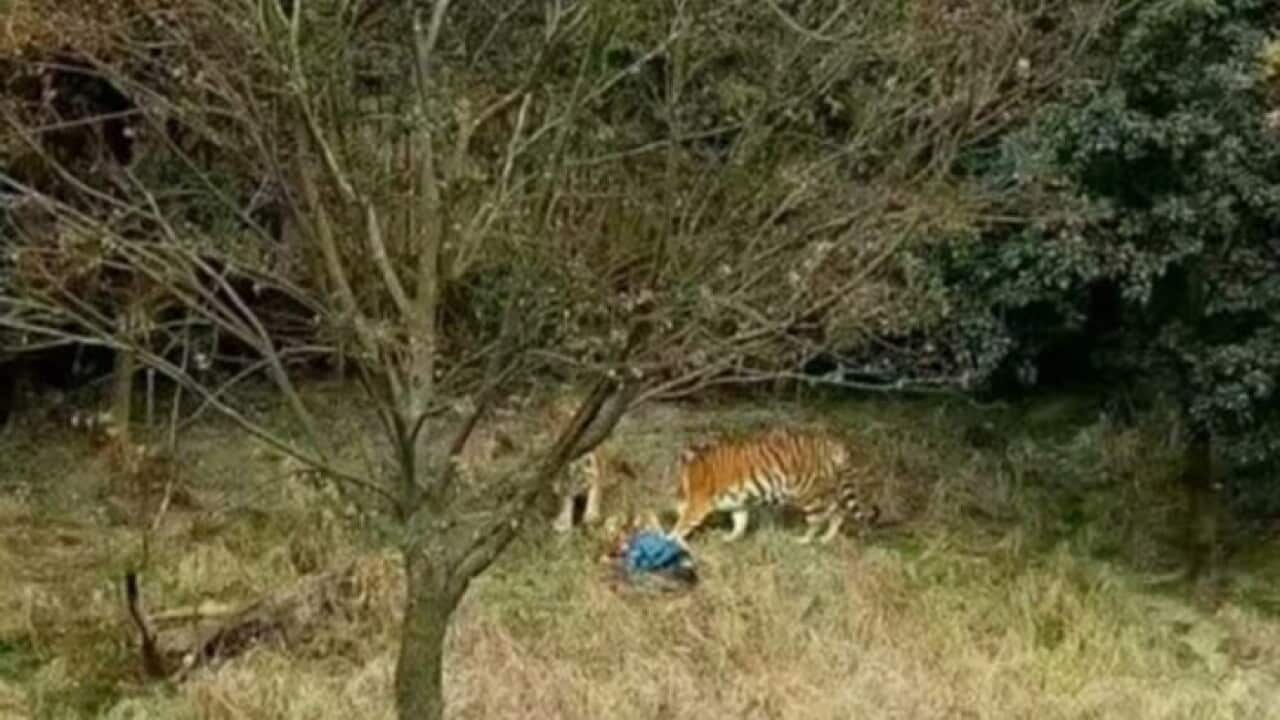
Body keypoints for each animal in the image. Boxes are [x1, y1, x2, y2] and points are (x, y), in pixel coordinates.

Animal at [669, 428, 880, 545]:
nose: (676, 504)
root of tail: (833, 443)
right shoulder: (739, 502)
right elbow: (740, 521)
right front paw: (731, 537)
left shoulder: (698, 504)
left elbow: (684, 523)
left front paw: (670, 538)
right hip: (826, 490)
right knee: (837, 511)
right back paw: (826, 539)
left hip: (807, 493)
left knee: (817, 518)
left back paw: (803, 540)